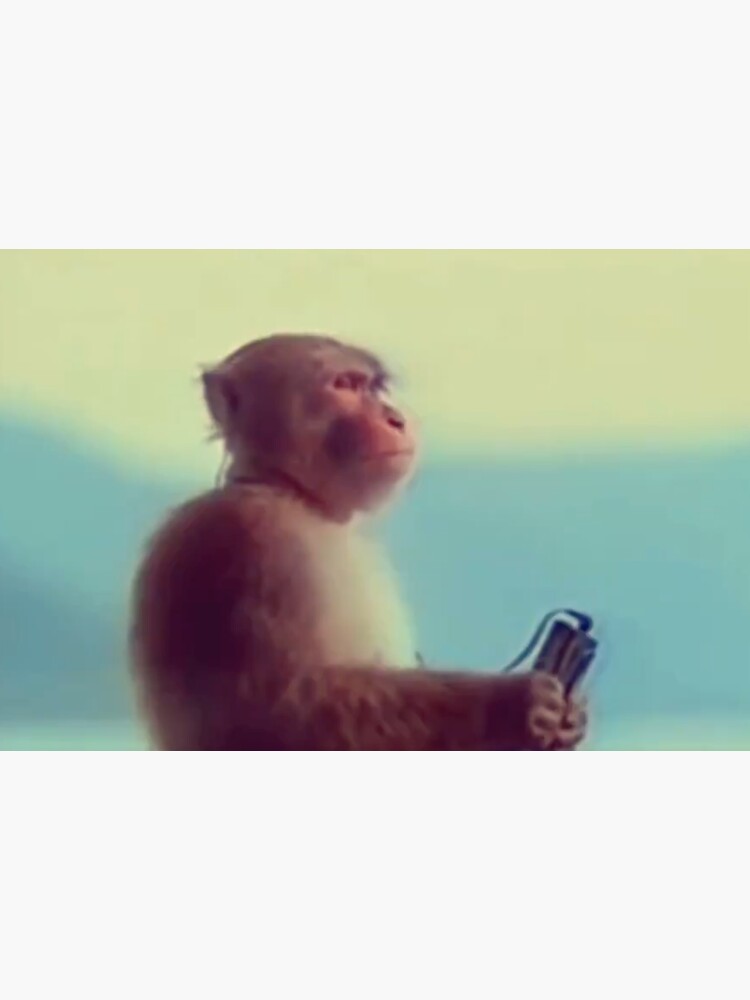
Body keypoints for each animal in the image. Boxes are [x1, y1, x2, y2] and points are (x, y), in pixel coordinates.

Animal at [130, 333, 588, 751]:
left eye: (373, 387)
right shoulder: (248, 540)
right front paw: (514, 705)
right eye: (345, 385)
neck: (293, 496)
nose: (395, 419)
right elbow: (273, 716)